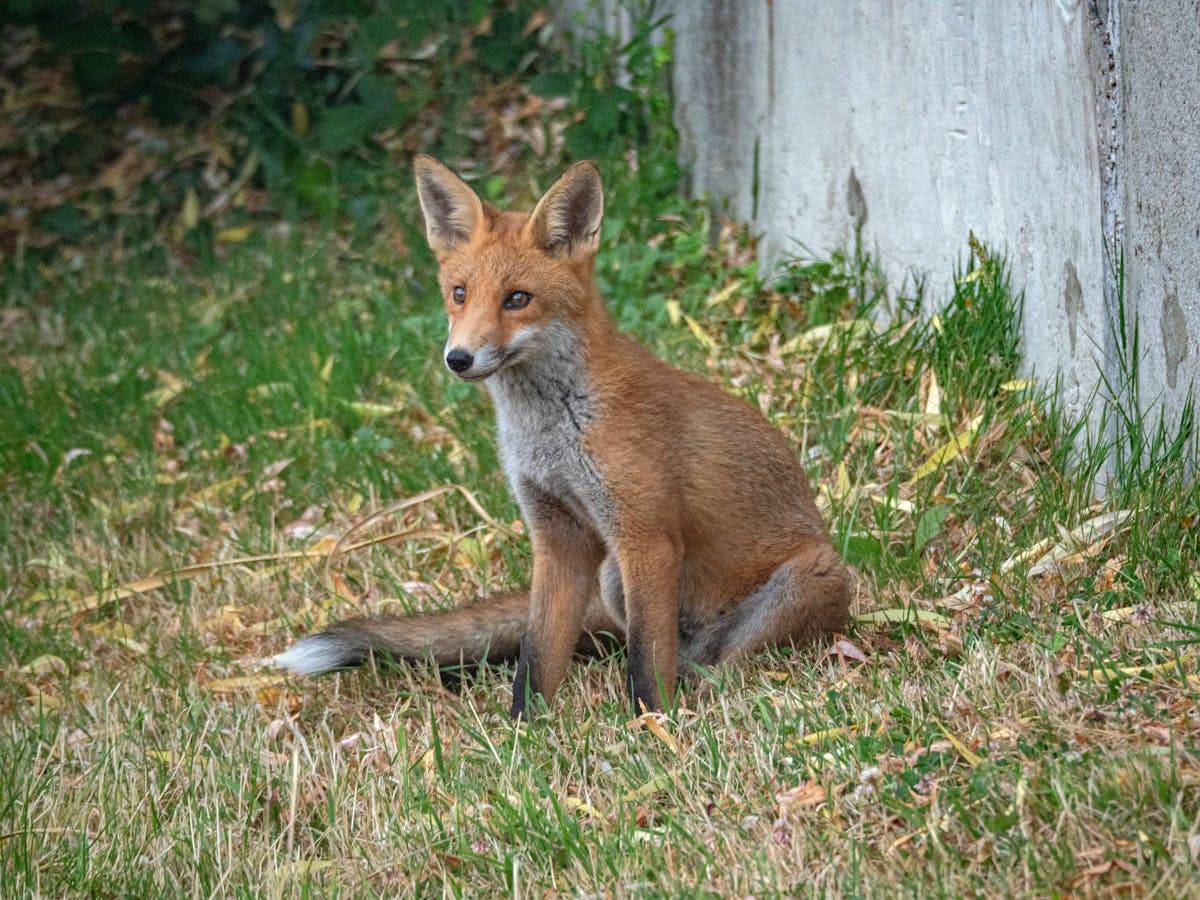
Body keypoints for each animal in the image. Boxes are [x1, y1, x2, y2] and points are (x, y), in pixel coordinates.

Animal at [272, 156, 851, 716]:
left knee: (721, 660)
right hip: (613, 578)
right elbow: (538, 652)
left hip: (801, 580)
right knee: (669, 652)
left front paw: (652, 724)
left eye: (517, 299)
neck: (552, 433)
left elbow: (645, 660)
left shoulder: (645, 537)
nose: (458, 358)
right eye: (459, 295)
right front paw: (525, 731)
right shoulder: (558, 536)